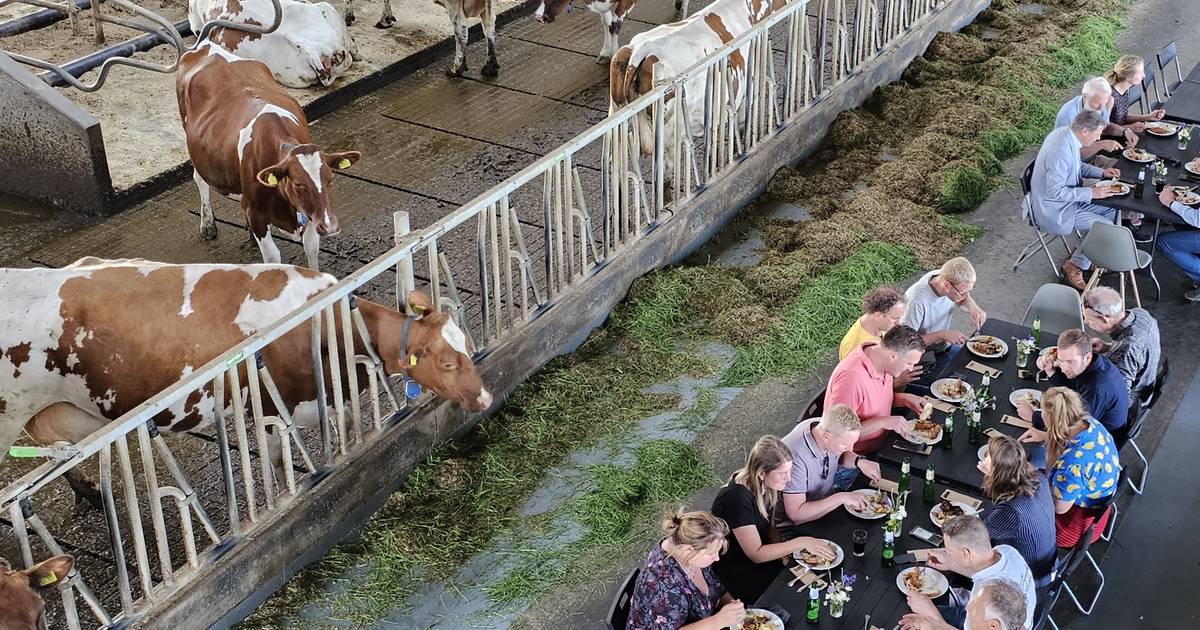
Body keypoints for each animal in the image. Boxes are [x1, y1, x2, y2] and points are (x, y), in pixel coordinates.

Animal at [0, 259, 494, 496]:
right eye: (447, 364)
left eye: (466, 346)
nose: (486, 399)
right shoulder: (271, 407)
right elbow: (276, 460)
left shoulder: (335, 394)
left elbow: (349, 428)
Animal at [177, 41, 361, 271]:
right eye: (298, 183)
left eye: (330, 179)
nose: (330, 226)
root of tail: (206, 46)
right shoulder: (257, 214)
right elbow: (273, 258)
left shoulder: (310, 213)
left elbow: (311, 247)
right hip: (192, 141)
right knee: (200, 179)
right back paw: (208, 225)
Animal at [343, 0, 498, 78]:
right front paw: (387, 17)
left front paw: (347, 15)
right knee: (489, 24)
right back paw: (490, 66)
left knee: (462, 30)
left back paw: (455, 69)